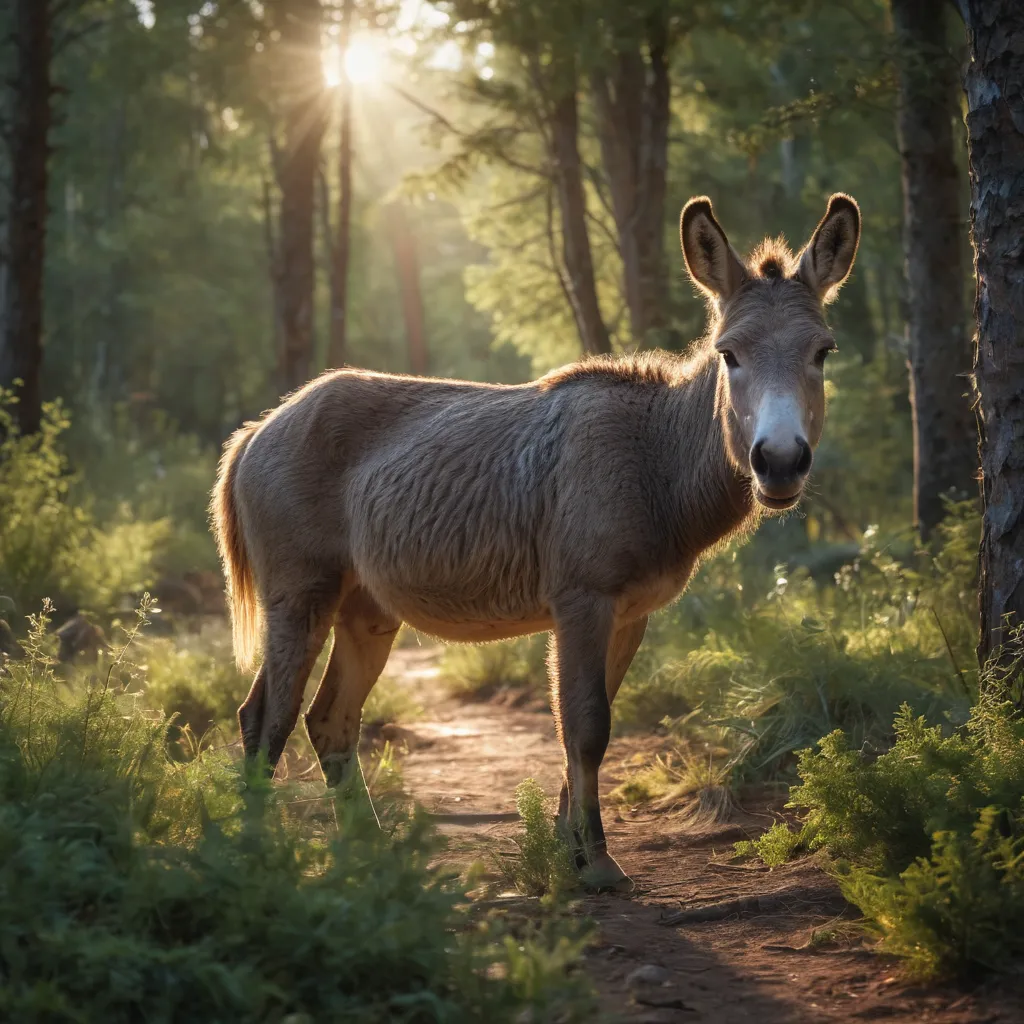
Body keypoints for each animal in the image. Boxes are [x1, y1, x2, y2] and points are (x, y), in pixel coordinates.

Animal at [212, 193, 860, 888]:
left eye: (823, 351)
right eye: (729, 353)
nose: (780, 460)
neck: (667, 485)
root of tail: (249, 437)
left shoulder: (631, 610)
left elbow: (582, 724)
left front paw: (566, 845)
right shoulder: (581, 594)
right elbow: (587, 726)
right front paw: (596, 860)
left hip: (367, 608)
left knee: (328, 719)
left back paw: (373, 849)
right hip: (298, 589)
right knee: (265, 715)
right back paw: (256, 852)